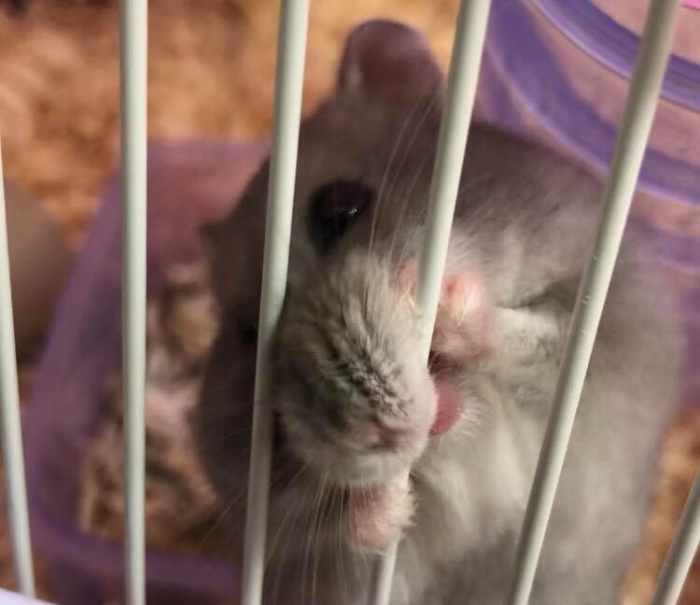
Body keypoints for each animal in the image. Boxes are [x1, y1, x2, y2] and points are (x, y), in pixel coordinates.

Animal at [193, 20, 681, 605]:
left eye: (339, 206)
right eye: (246, 333)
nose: (389, 430)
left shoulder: (616, 331)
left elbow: (545, 341)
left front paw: (436, 303)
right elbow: (333, 525)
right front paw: (386, 503)